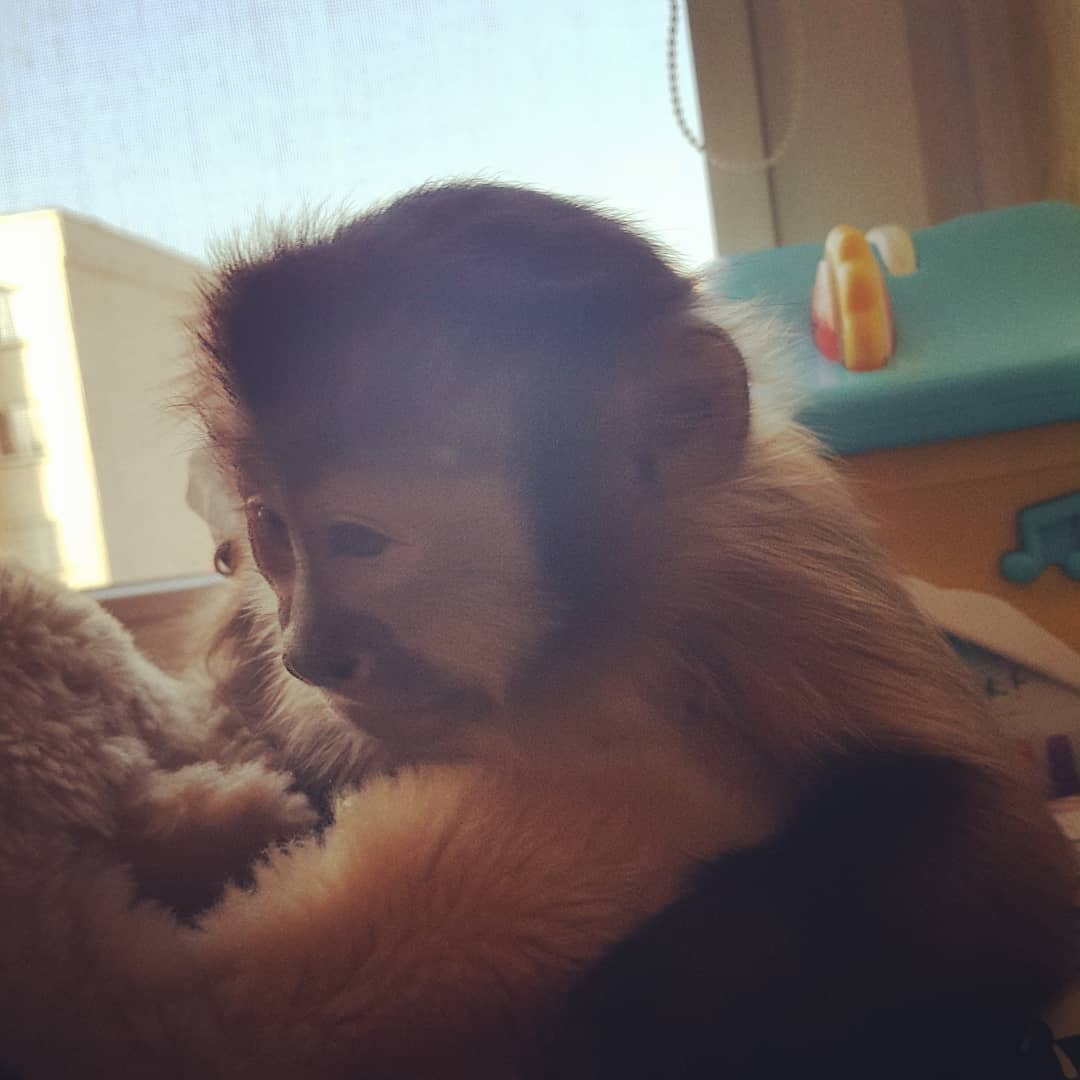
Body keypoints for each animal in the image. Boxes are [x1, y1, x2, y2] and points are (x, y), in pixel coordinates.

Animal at [0, 181, 1073, 1080]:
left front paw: (634, 1011)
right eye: (270, 534)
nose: (307, 651)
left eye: (356, 541)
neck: (575, 663)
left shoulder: (775, 579)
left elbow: (1004, 853)